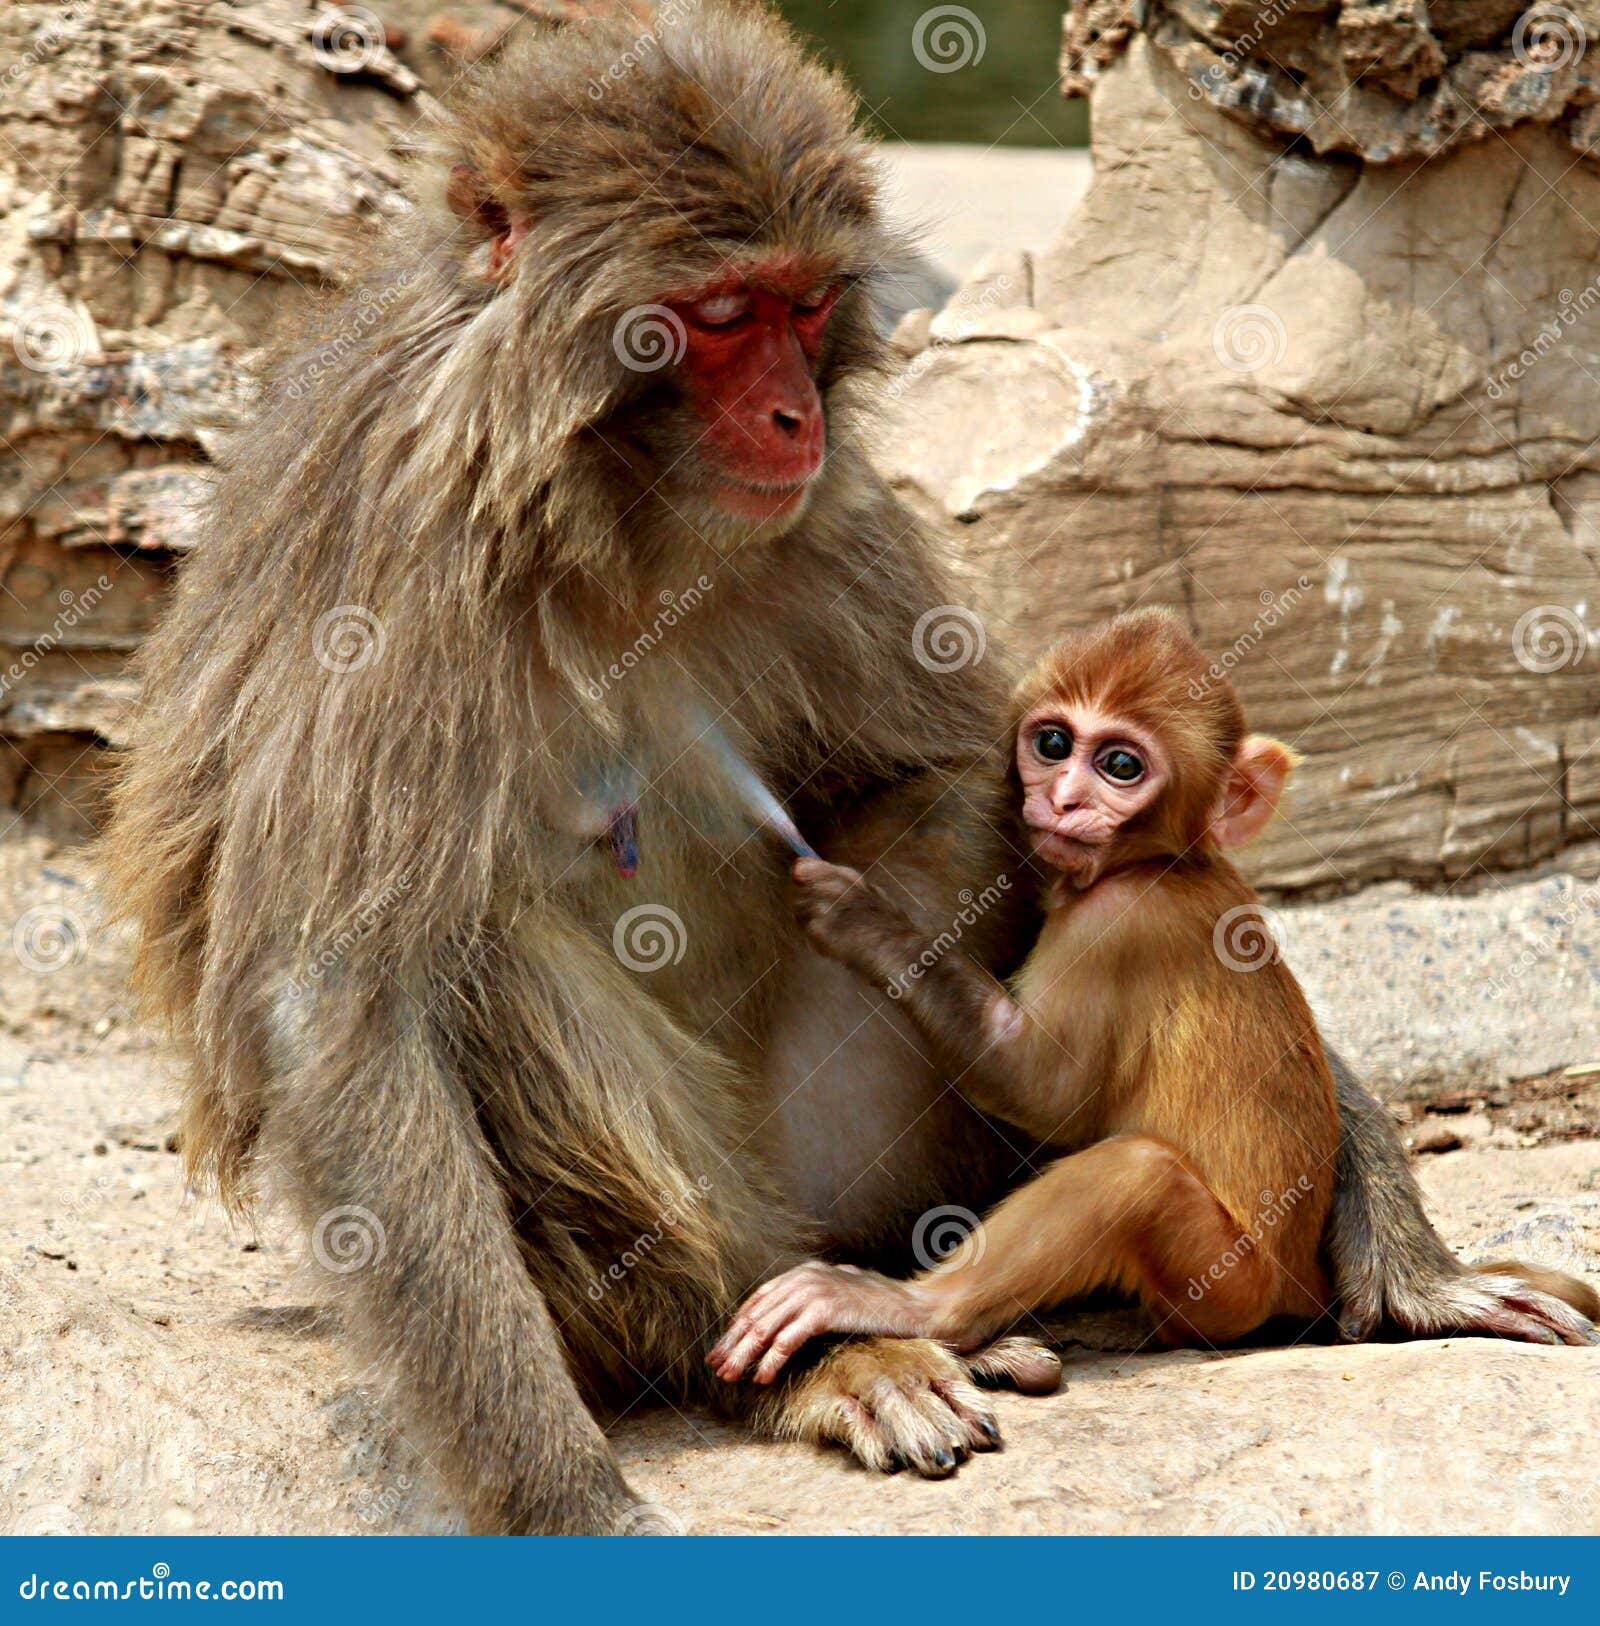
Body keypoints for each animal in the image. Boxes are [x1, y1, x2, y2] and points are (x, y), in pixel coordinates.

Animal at [711, 610, 1600, 1380]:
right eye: (1053, 743)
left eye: (1120, 766)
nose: (1062, 800)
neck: (1168, 861)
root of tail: (1303, 1290)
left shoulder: (1119, 924)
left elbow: (1045, 1088)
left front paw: (867, 923)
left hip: (1228, 1286)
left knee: (1135, 1175)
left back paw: (918, 1311)